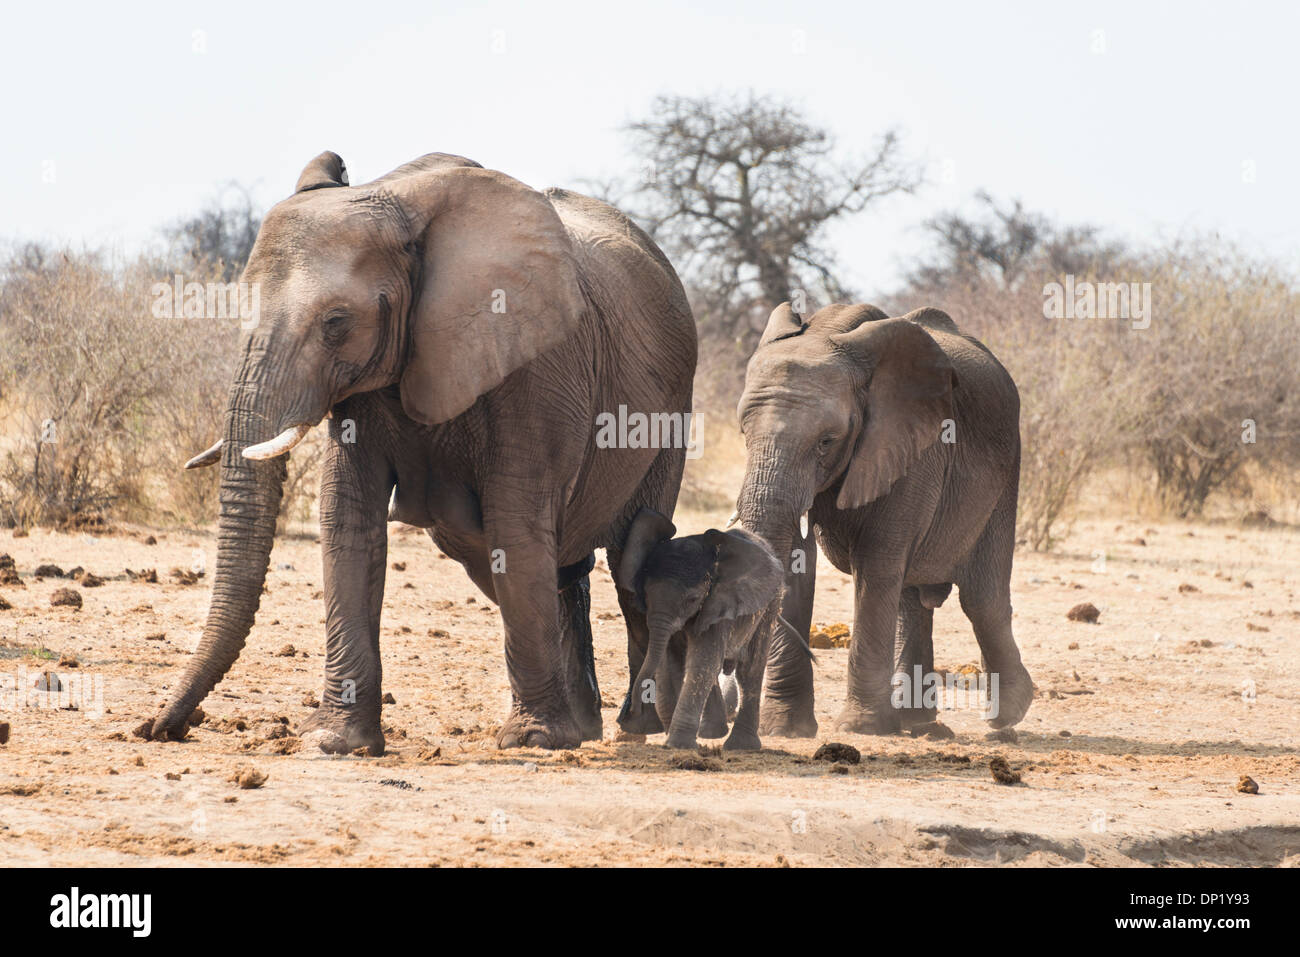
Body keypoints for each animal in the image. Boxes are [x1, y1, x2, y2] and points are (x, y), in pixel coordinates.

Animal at [134, 150, 697, 753]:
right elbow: (348, 520)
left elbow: (516, 526)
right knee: (549, 564)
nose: (161, 729)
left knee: (629, 553)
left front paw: (531, 740)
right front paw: (335, 742)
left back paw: (635, 728)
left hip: (671, 411)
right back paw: (583, 727)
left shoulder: (537, 366)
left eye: (337, 323)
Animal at [612, 508, 785, 749]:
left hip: (771, 602)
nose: (632, 712)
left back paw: (740, 745)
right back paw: (711, 733)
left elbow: (703, 659)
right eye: (645, 594)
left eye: (692, 600)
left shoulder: (719, 604)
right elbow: (674, 660)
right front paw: (675, 741)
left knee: (750, 667)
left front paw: (678, 745)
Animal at [731, 302, 1032, 747]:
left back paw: (1005, 716)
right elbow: (798, 566)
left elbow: (875, 565)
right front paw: (785, 730)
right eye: (743, 432)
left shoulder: (911, 447)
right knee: (911, 596)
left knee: (981, 598)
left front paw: (861, 728)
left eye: (826, 441)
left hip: (1006, 472)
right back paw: (917, 722)